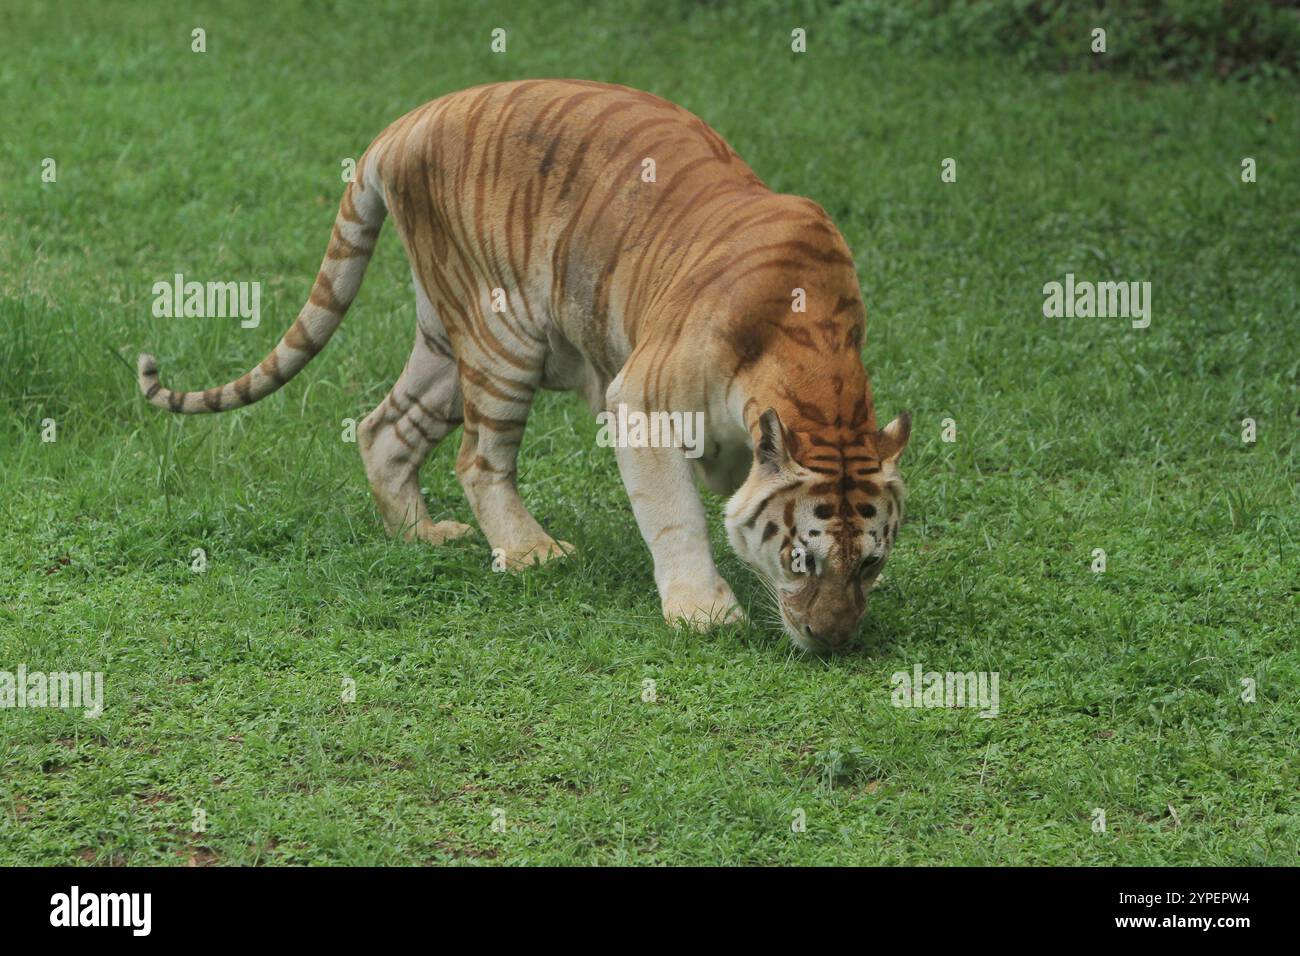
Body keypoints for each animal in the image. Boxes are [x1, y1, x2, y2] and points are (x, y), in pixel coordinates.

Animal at [137, 79, 910, 651]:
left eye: (871, 562)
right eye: (802, 558)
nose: (833, 640)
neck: (817, 368)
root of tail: (409, 119)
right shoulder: (642, 399)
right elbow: (675, 517)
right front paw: (703, 613)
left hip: (451, 344)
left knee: (382, 429)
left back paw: (422, 536)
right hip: (503, 336)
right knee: (478, 461)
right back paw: (531, 552)